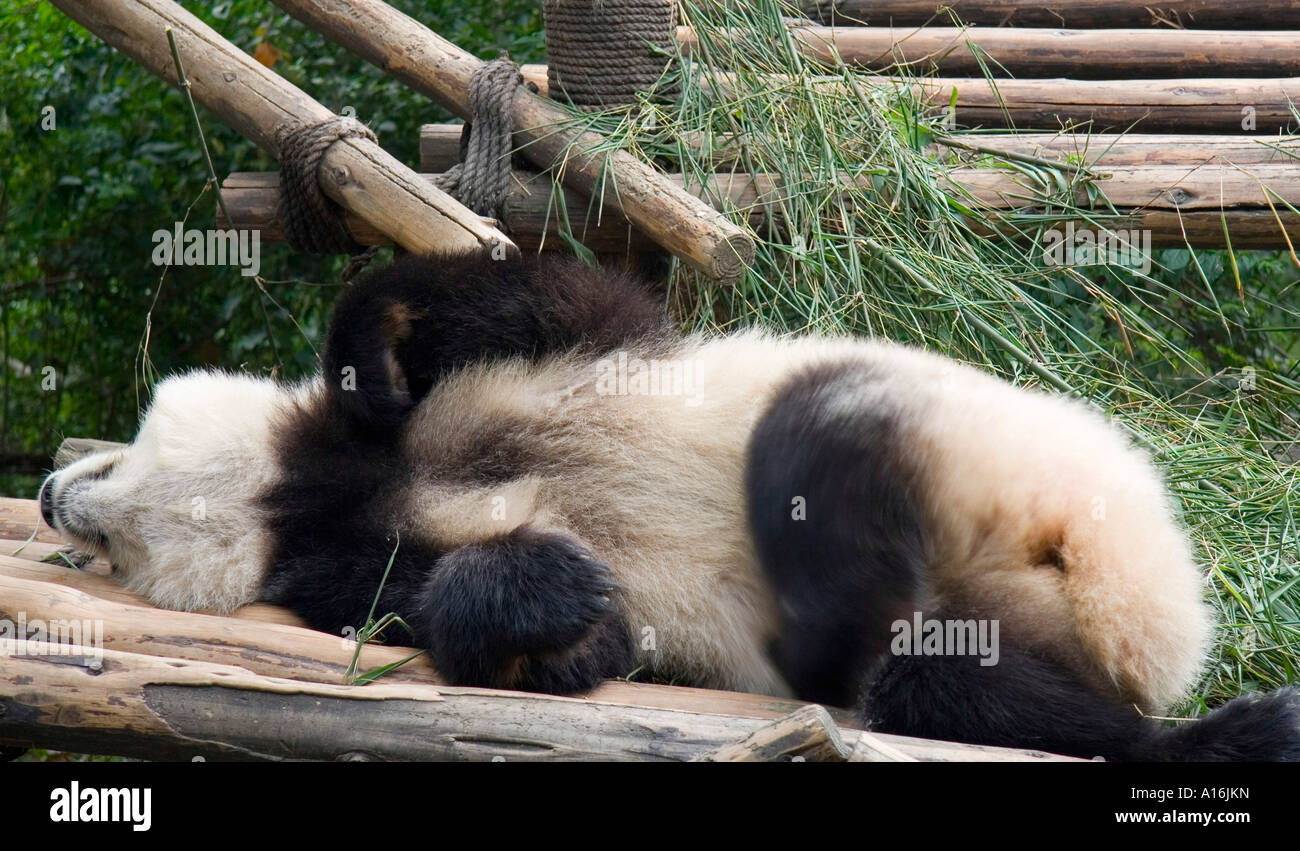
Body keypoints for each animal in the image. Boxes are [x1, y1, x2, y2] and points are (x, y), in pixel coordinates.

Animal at [40, 251, 1300, 761]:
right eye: (106, 564)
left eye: (120, 449)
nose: (52, 495)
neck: (296, 494)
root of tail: (1124, 612)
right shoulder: (342, 566)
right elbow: (533, 643)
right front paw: (552, 584)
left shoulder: (570, 350)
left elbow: (525, 292)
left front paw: (373, 359)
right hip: (1010, 600)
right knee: (949, 682)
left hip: (1014, 454)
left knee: (805, 442)